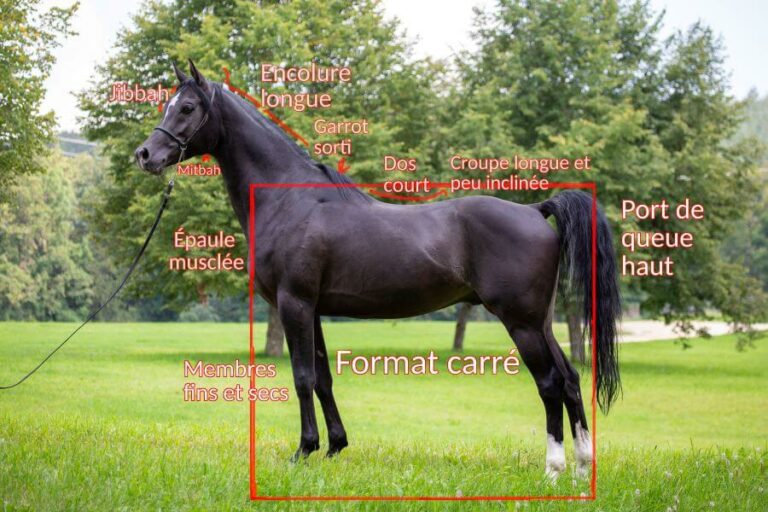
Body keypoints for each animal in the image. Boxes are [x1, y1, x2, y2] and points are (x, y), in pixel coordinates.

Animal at [135, 60, 621, 479]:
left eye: (187, 107)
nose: (145, 155)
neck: (289, 198)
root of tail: (535, 210)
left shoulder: (295, 303)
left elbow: (302, 377)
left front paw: (303, 450)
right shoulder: (312, 309)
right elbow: (323, 378)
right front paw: (334, 446)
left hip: (520, 322)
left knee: (550, 383)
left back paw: (554, 469)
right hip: (541, 321)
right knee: (571, 379)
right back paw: (582, 467)